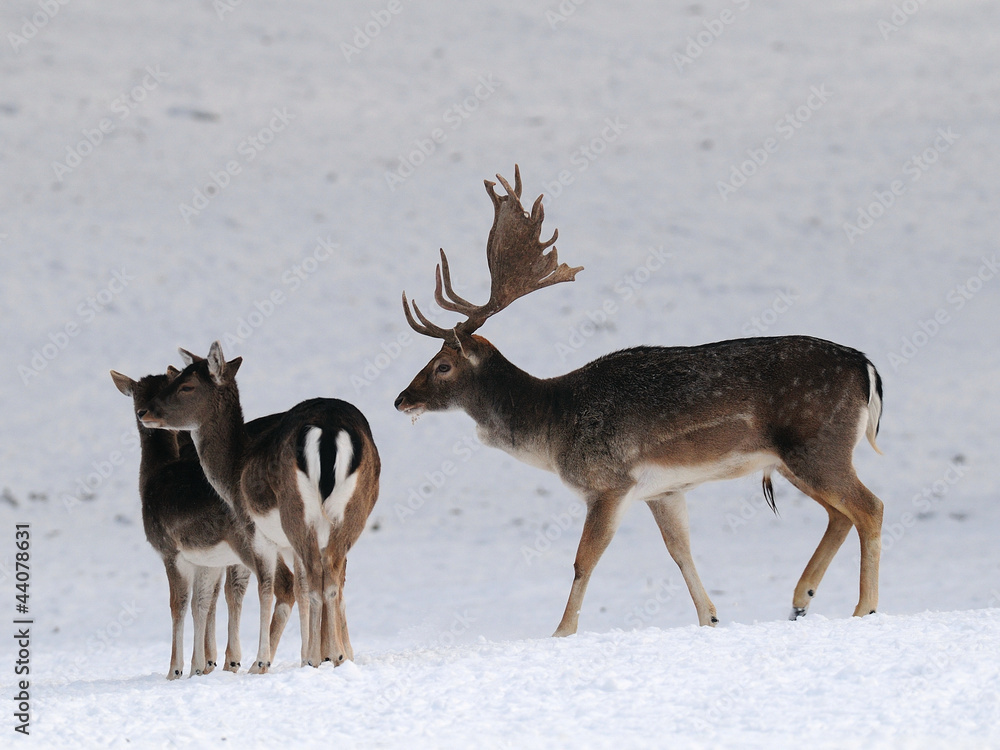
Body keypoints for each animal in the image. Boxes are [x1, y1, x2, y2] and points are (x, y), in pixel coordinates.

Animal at [110, 368, 296, 678]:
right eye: (139, 393)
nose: (142, 412)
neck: (151, 478)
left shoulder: (170, 551)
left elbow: (179, 604)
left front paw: (176, 670)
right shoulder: (207, 559)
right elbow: (203, 602)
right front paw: (201, 666)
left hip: (248, 541)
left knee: (285, 584)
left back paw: (261, 662)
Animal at [136, 343, 380, 671]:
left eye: (186, 385)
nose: (144, 412)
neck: (233, 471)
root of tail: (330, 427)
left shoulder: (254, 530)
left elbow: (267, 588)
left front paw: (262, 661)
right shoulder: (288, 542)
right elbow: (301, 585)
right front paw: (314, 653)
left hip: (296, 512)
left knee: (318, 574)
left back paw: (322, 657)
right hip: (354, 510)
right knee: (332, 574)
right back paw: (340, 655)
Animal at [394, 165, 885, 636]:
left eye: (443, 365)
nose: (400, 399)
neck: (553, 428)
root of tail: (867, 368)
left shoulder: (610, 483)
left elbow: (583, 561)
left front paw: (562, 632)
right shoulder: (664, 490)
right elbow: (680, 552)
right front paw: (710, 618)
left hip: (817, 445)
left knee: (870, 508)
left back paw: (864, 608)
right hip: (794, 459)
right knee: (841, 514)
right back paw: (801, 599)